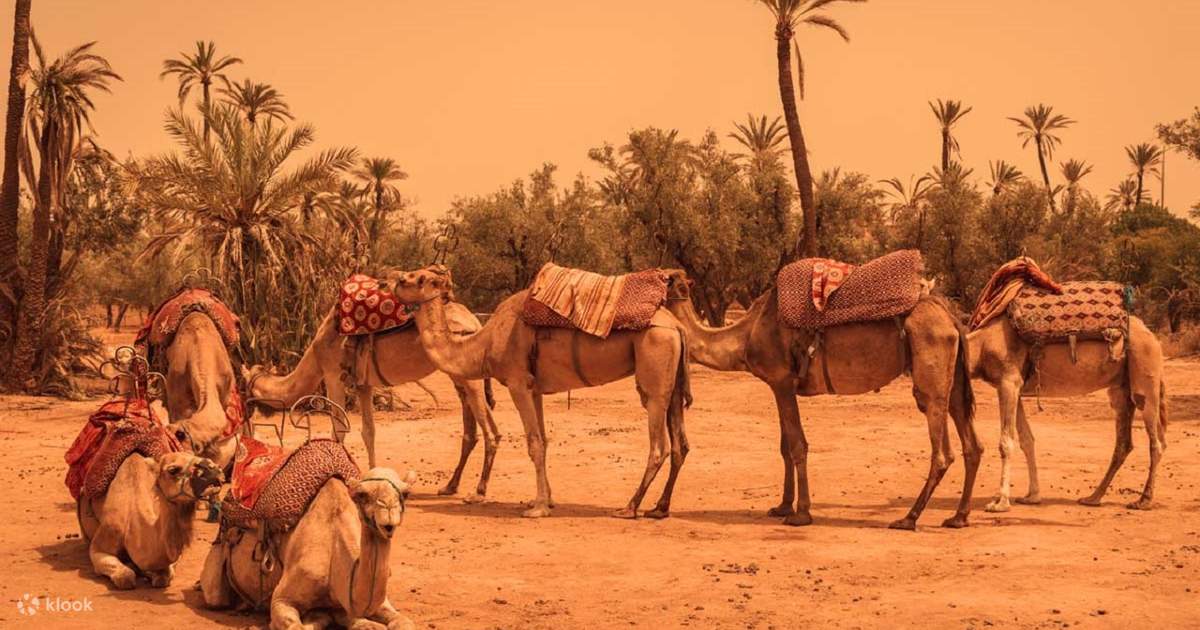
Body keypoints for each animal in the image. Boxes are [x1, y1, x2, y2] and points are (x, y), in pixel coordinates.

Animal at [200, 467, 416, 630]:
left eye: (405, 493)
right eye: (363, 495)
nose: (388, 515)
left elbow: (403, 622)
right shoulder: (282, 599)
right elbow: (298, 623)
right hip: (216, 571)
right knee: (214, 595)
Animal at [247, 306, 499, 498]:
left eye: (245, 386)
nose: (246, 413)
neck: (315, 355)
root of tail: (475, 323)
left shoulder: (332, 375)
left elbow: (338, 430)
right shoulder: (364, 386)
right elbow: (369, 431)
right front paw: (373, 478)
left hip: (468, 374)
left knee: (488, 430)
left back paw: (479, 491)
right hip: (459, 374)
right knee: (476, 427)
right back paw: (450, 486)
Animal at [387, 266, 691, 519]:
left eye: (414, 279)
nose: (389, 279)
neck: (485, 344)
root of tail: (677, 327)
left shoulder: (518, 383)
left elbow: (533, 443)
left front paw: (537, 507)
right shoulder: (535, 389)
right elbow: (544, 441)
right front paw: (547, 499)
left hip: (655, 366)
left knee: (659, 445)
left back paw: (630, 507)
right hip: (673, 381)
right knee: (681, 444)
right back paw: (659, 508)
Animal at [661, 270, 980, 529]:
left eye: (664, 279)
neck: (745, 334)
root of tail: (951, 318)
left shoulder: (781, 381)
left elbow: (797, 445)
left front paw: (800, 514)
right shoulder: (781, 386)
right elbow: (784, 446)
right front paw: (782, 506)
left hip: (931, 376)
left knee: (942, 451)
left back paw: (908, 518)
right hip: (953, 380)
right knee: (972, 445)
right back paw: (958, 517)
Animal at [967, 315, 1167, 512]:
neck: (981, 345)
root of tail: (1151, 336)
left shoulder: (1008, 381)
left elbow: (1006, 442)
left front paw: (1000, 502)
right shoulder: (1014, 388)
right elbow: (1027, 440)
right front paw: (1032, 496)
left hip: (1145, 374)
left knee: (1156, 442)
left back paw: (1143, 500)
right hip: (1121, 389)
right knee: (1125, 442)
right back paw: (1093, 498)